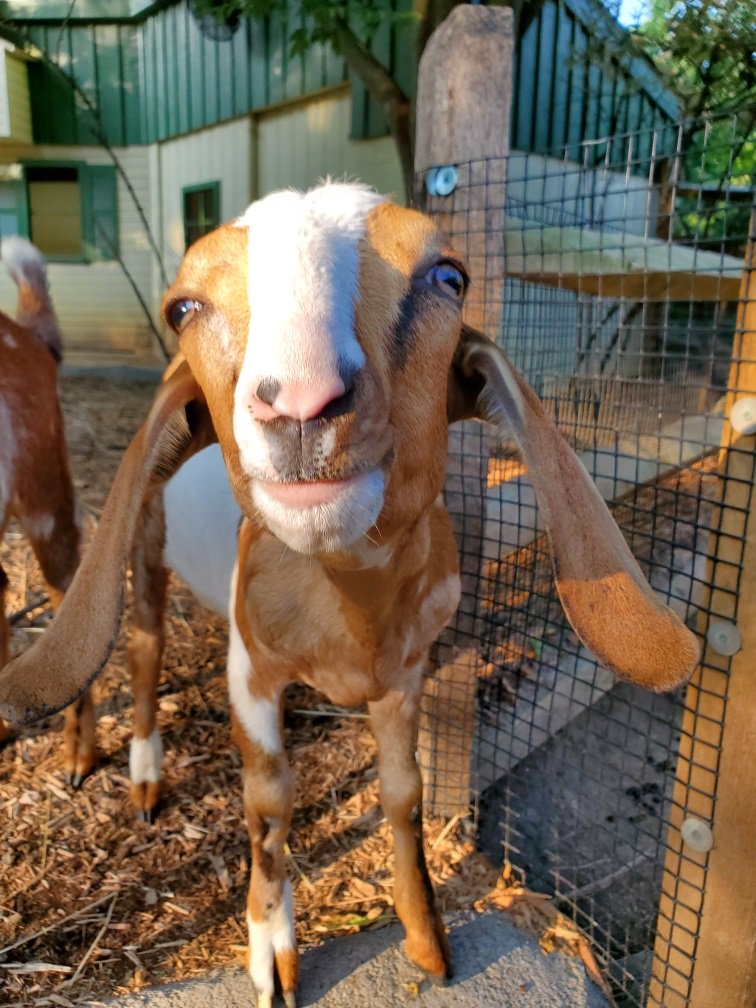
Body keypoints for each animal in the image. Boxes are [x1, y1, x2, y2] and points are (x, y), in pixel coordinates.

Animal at [0, 183, 700, 1007]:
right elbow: (269, 801)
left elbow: (404, 790)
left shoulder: (408, 672)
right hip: (140, 541)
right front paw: (273, 954)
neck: (350, 611)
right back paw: (142, 778)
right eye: (183, 307)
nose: (300, 405)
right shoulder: (251, 672)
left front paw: (427, 938)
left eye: (449, 277)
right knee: (143, 646)